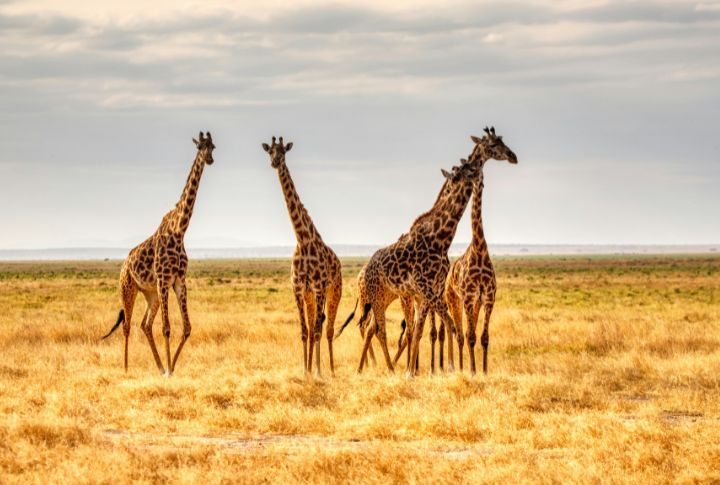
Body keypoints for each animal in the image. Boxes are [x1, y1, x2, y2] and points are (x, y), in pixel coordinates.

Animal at [101, 131, 215, 376]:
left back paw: (159, 366)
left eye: (213, 146)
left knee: (145, 324)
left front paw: (170, 368)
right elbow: (167, 328)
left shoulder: (179, 280)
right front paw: (170, 371)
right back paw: (126, 368)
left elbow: (187, 327)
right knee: (127, 326)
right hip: (128, 288)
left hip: (150, 293)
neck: (179, 230)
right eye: (200, 147)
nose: (209, 159)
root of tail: (124, 265)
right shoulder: (164, 280)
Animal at [262, 136, 343, 377]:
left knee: (328, 328)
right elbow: (304, 330)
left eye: (283, 152)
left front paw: (317, 371)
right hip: (310, 296)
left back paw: (331, 370)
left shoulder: (319, 288)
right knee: (315, 324)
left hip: (334, 291)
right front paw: (305, 371)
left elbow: (316, 330)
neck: (303, 240)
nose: (275, 162)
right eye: (270, 151)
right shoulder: (298, 288)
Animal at [337, 155, 481, 376]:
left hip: (383, 298)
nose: (476, 172)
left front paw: (416, 369)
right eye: (464, 170)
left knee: (372, 328)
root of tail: (365, 270)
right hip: (374, 298)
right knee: (376, 329)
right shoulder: (421, 291)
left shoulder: (426, 293)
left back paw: (369, 368)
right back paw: (384, 367)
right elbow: (431, 328)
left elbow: (418, 330)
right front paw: (438, 368)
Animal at [444, 126, 517, 374]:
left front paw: (484, 371)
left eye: (500, 142)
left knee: (467, 333)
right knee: (459, 334)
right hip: (454, 301)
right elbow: (470, 336)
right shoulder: (468, 298)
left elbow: (484, 337)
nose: (513, 157)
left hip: (473, 303)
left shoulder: (488, 297)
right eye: (492, 144)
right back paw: (460, 368)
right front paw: (473, 371)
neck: (480, 249)